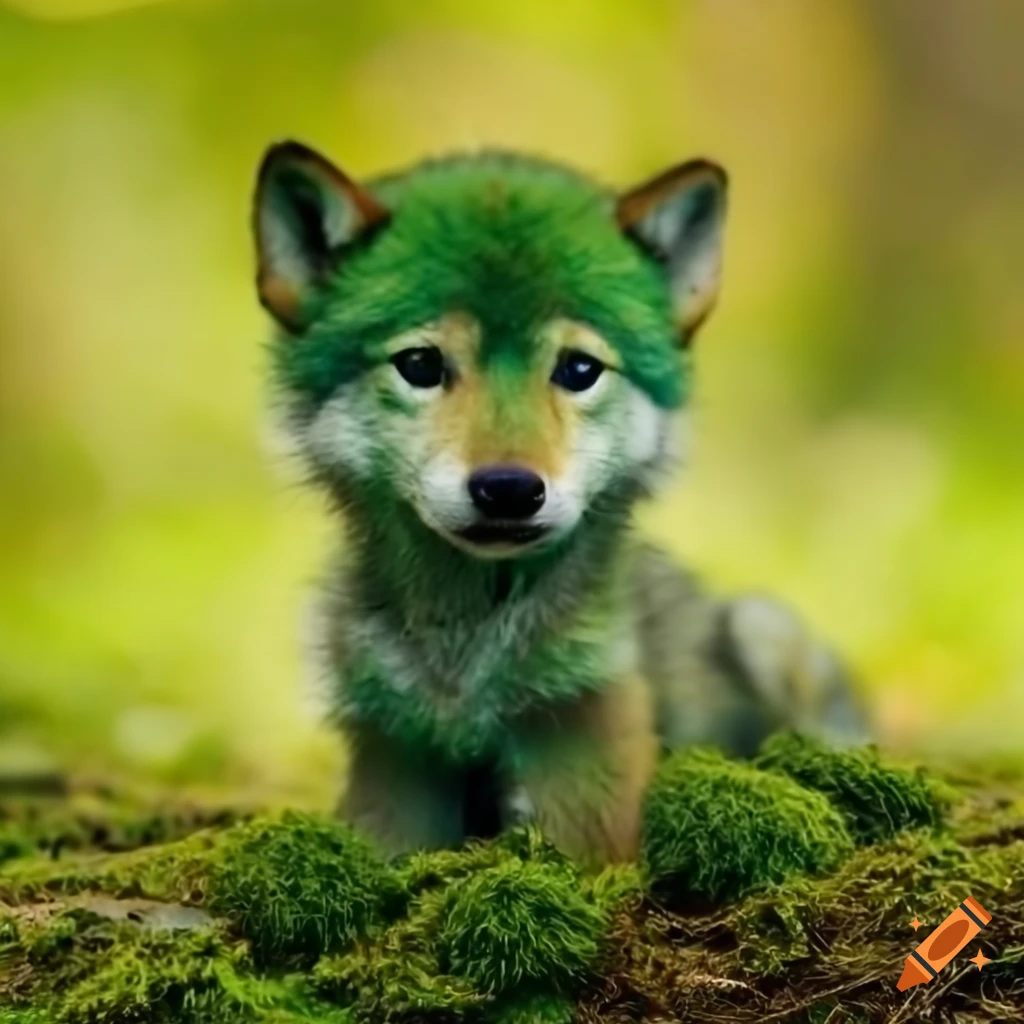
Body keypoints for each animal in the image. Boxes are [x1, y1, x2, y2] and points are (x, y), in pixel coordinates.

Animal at [252, 142, 868, 865]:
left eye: (579, 369)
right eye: (420, 364)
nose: (509, 489)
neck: (468, 659)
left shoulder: (584, 749)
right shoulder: (395, 762)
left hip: (762, 629)